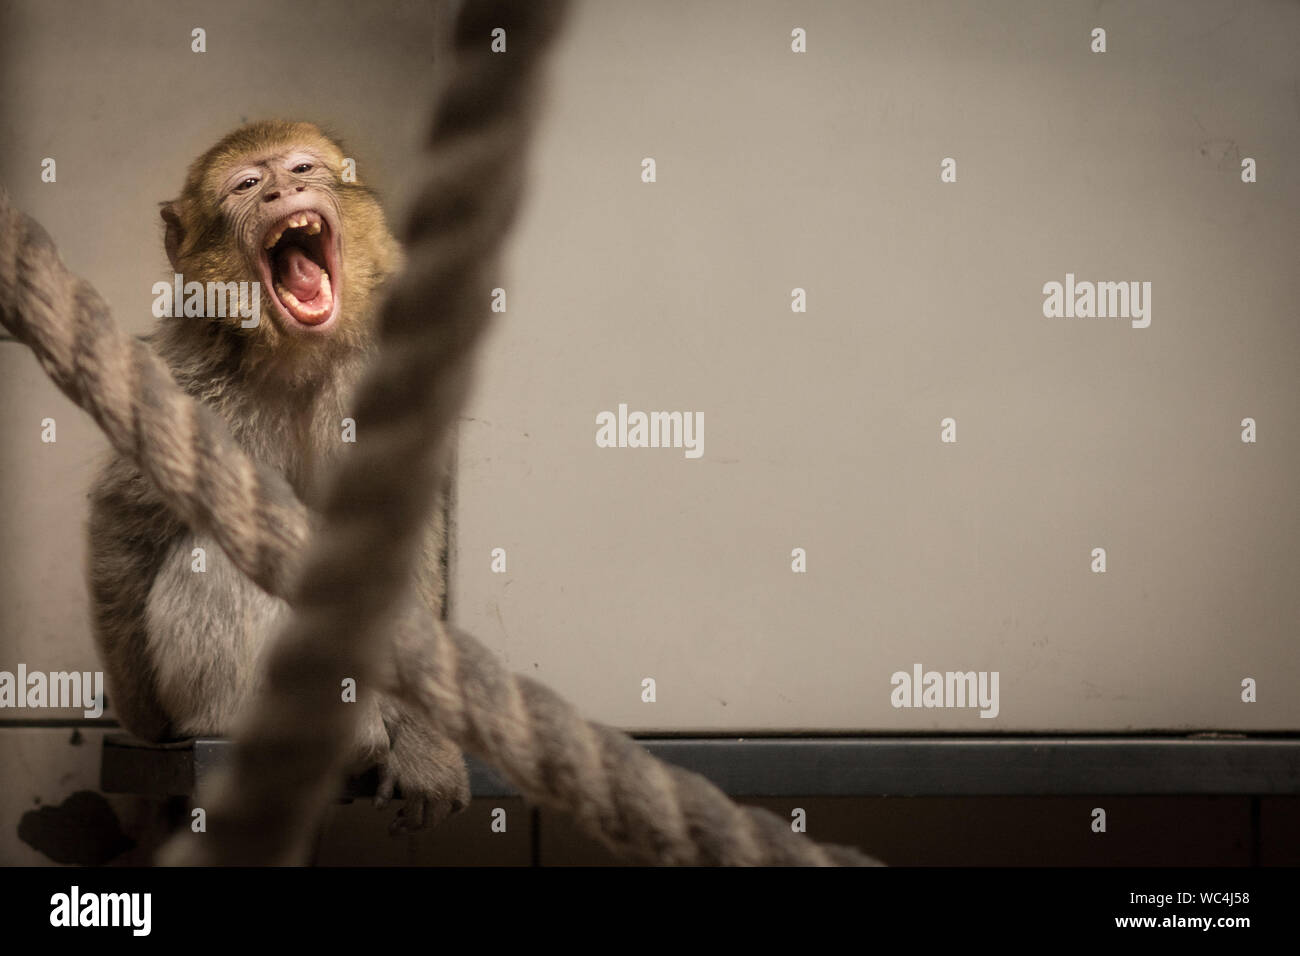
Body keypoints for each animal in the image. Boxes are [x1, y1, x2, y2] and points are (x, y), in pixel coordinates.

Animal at [86, 120, 470, 833]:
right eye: (246, 184)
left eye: (301, 169)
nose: (281, 192)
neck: (295, 355)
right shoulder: (185, 384)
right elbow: (125, 525)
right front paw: (143, 718)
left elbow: (401, 544)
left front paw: (426, 747)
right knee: (216, 552)